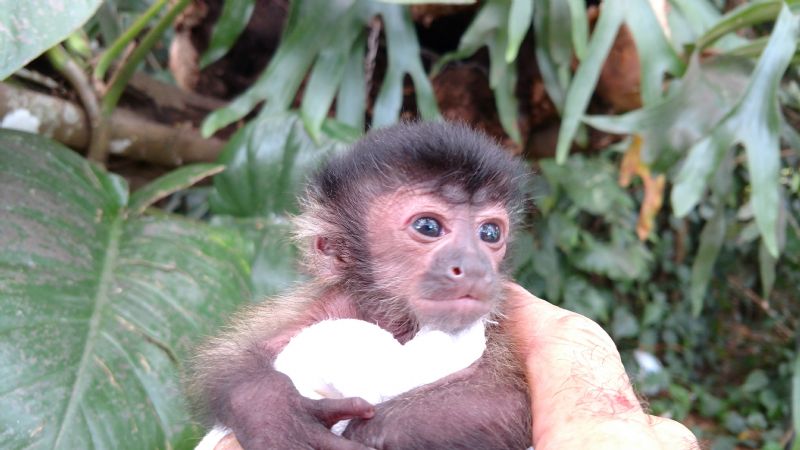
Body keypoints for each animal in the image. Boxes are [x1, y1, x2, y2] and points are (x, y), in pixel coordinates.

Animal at [188, 121, 533, 450]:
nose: (475, 267)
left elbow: (502, 405)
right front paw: (278, 416)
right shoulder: (327, 303)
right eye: (428, 227)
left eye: (490, 233)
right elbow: (229, 358)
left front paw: (364, 433)